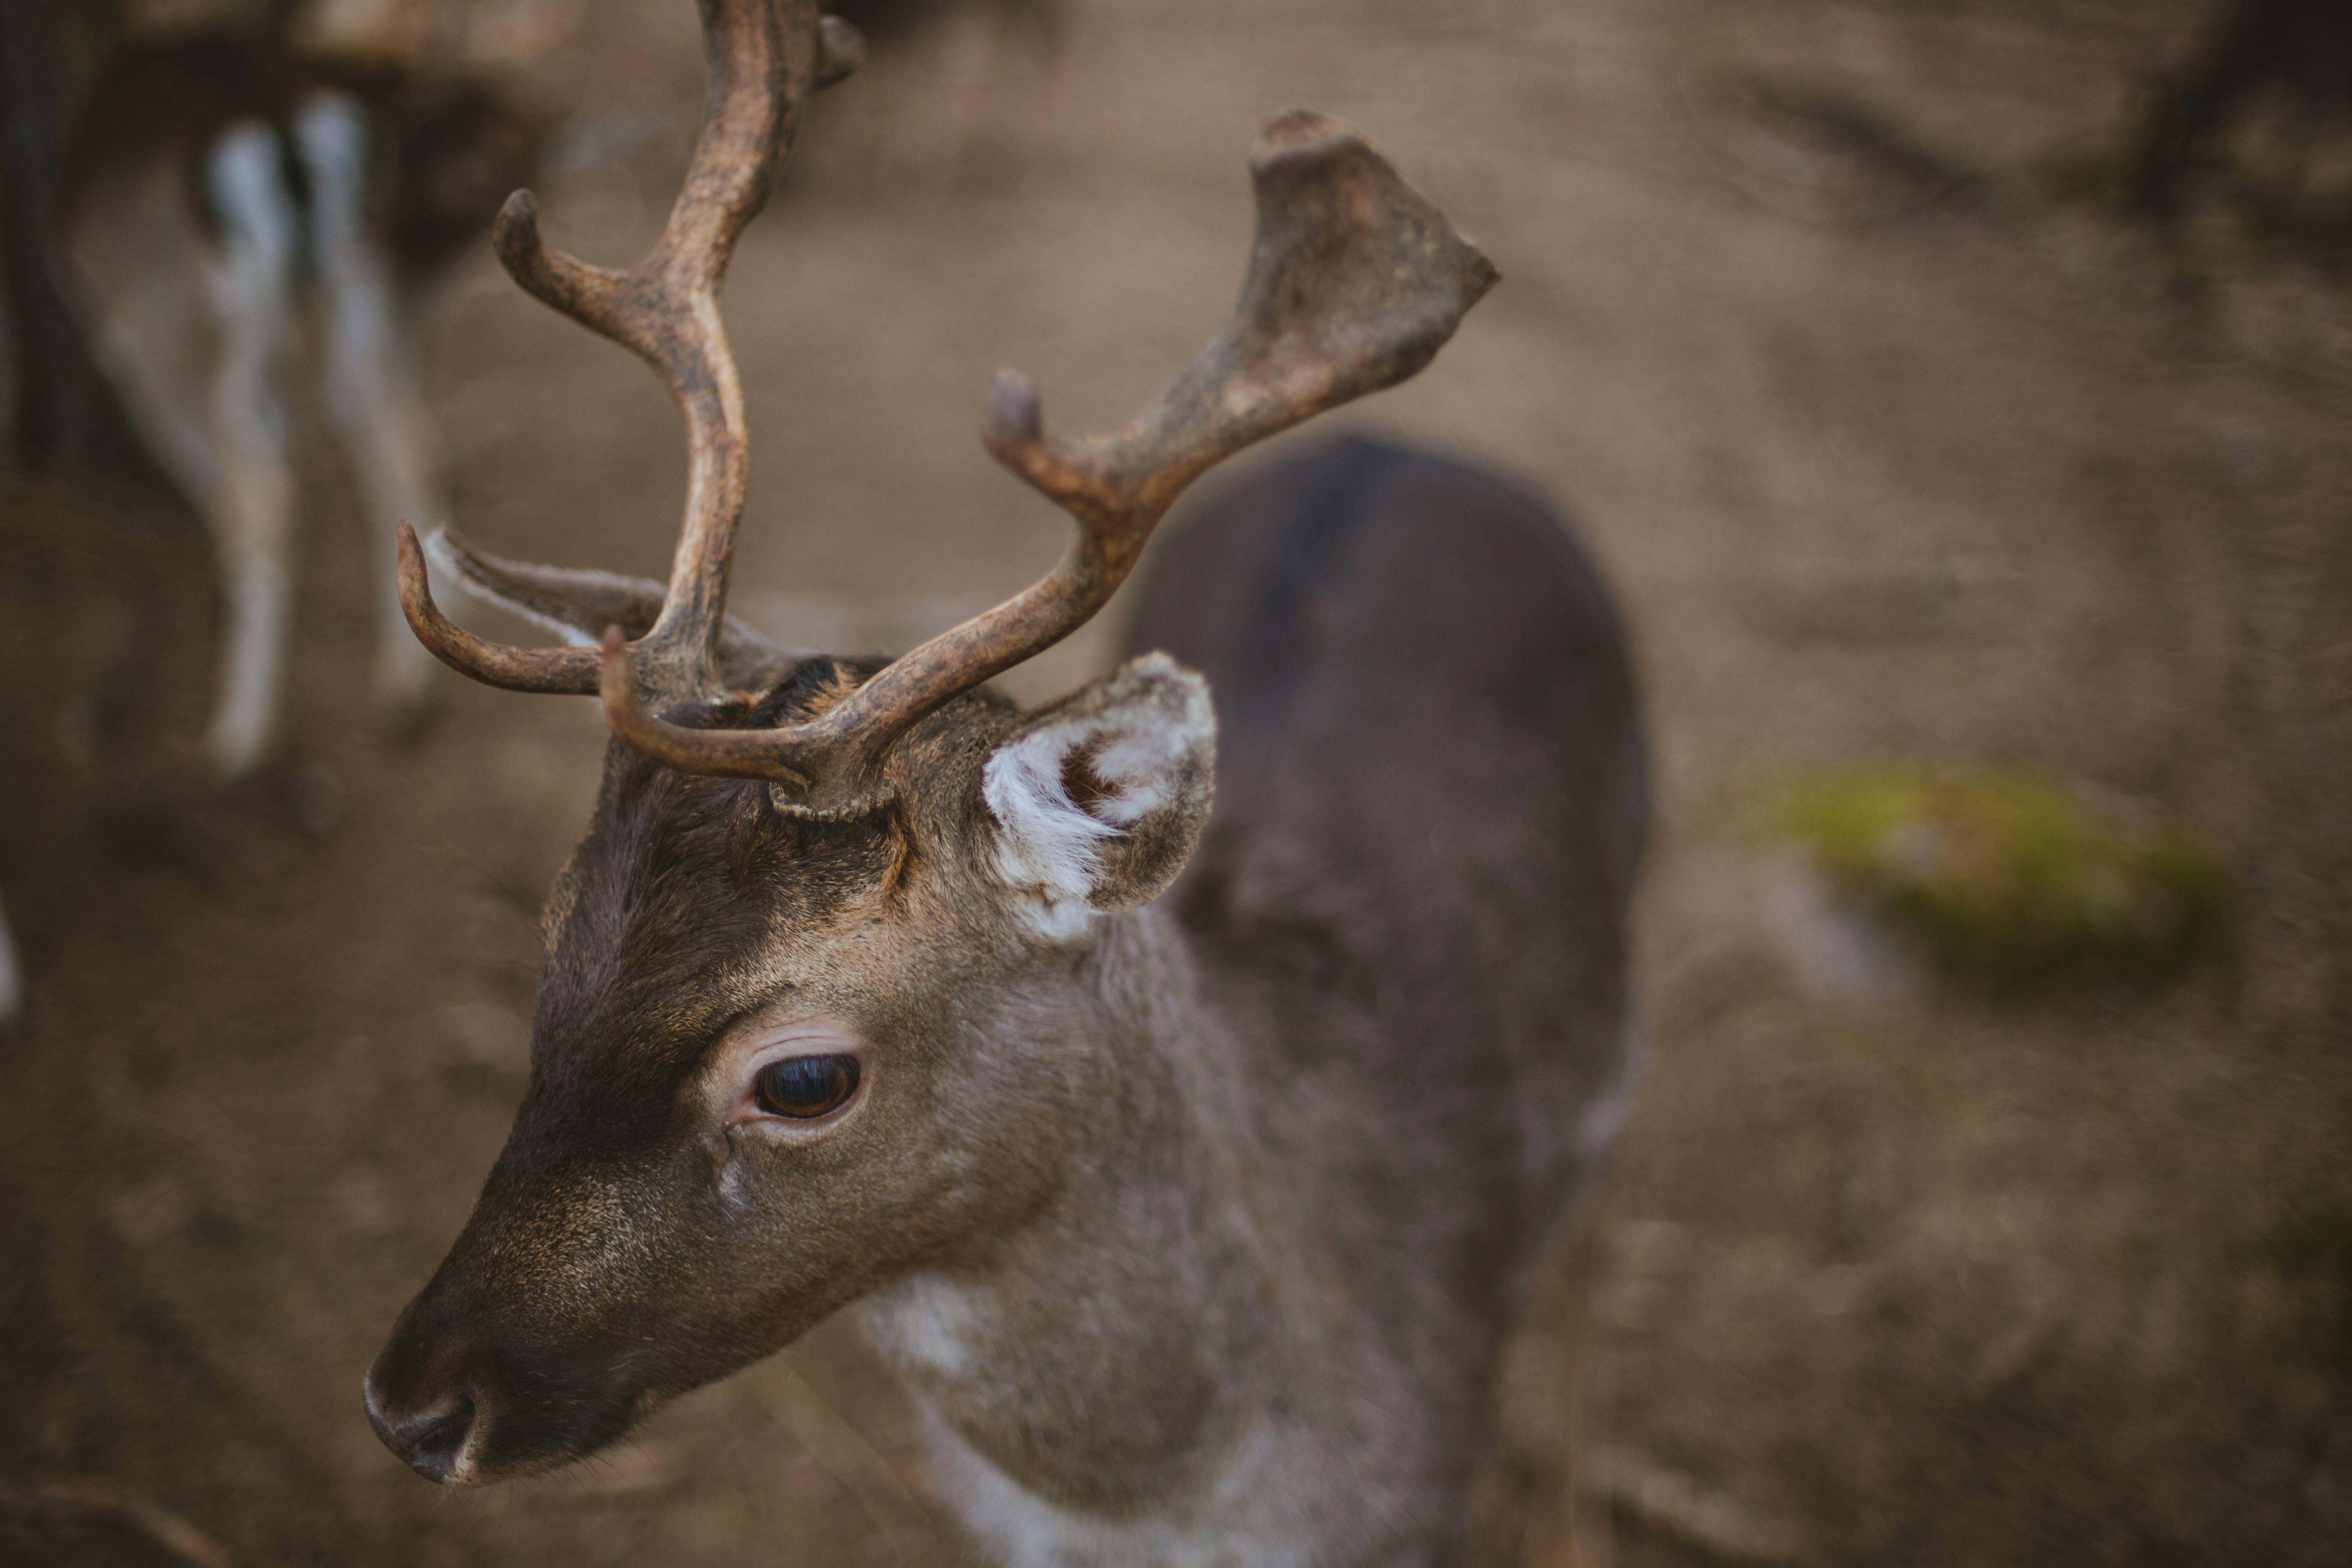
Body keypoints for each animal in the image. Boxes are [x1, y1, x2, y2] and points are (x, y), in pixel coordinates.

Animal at [45, 5, 541, 778]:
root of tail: (272, 118)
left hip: (169, 346)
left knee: (263, 498)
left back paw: (238, 737)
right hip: (356, 290)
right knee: (404, 442)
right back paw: (407, 692)